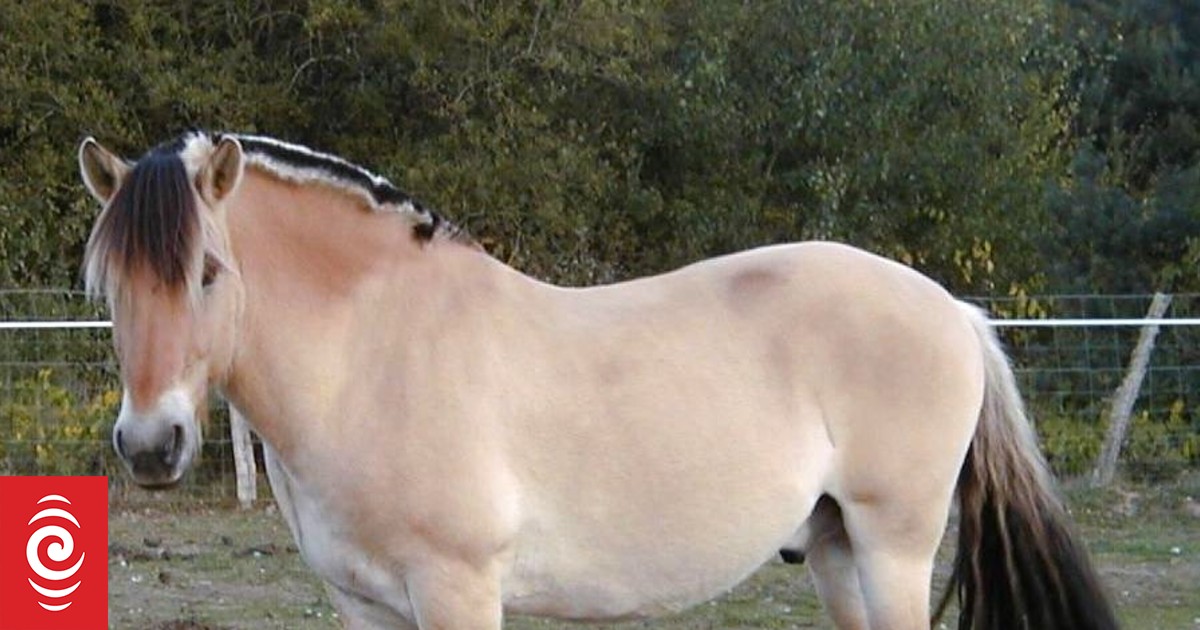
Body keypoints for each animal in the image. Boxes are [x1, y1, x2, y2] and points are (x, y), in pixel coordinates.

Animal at [78, 131, 1118, 630]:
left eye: (207, 273)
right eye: (110, 282)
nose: (151, 446)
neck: (376, 357)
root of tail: (955, 311)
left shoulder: (457, 594)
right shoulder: (363, 606)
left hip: (891, 547)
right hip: (834, 551)